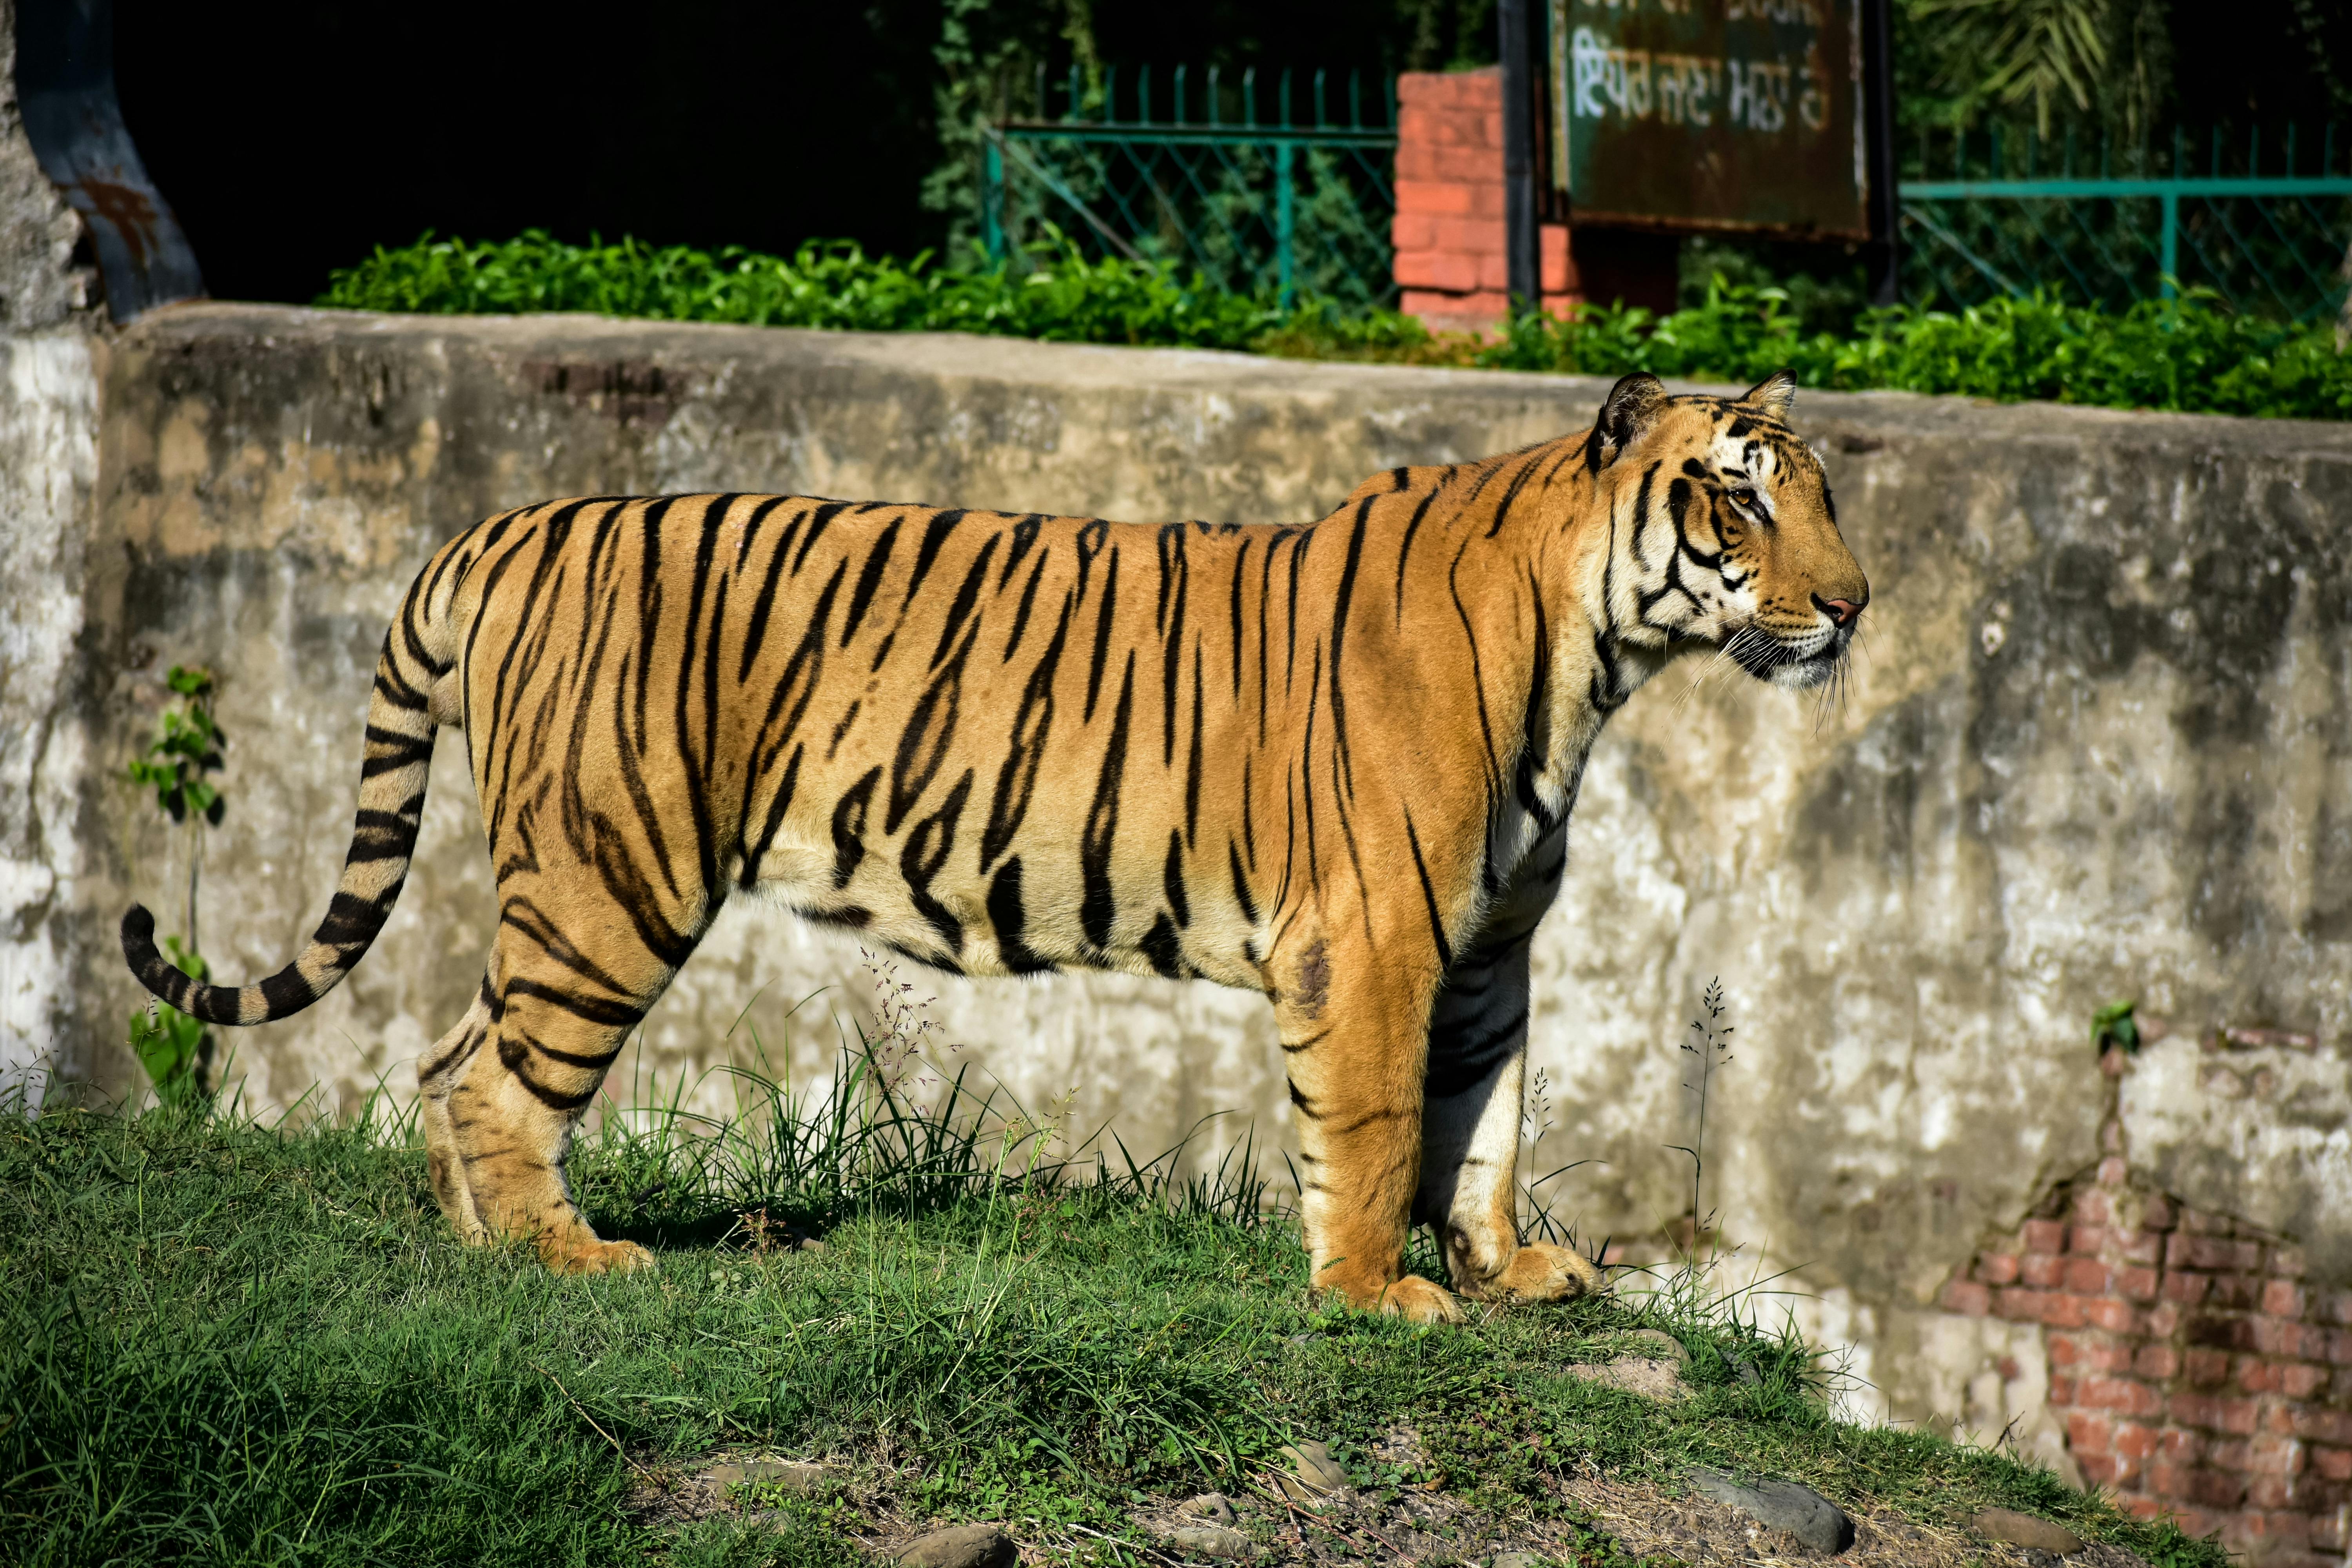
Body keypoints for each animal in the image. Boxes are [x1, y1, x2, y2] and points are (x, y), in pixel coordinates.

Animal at [123, 368, 1867, 1323]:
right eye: (1742, 502)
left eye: (1828, 499)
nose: (1854, 607)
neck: (1599, 665)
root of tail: (504, 524)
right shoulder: (1375, 935)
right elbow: (1377, 1128)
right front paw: (1379, 1295)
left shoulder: (1492, 944)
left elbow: (1487, 1122)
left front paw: (1512, 1273)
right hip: (614, 877)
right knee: (496, 1076)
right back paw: (574, 1257)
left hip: (573, 883)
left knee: (441, 1062)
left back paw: (485, 1245)